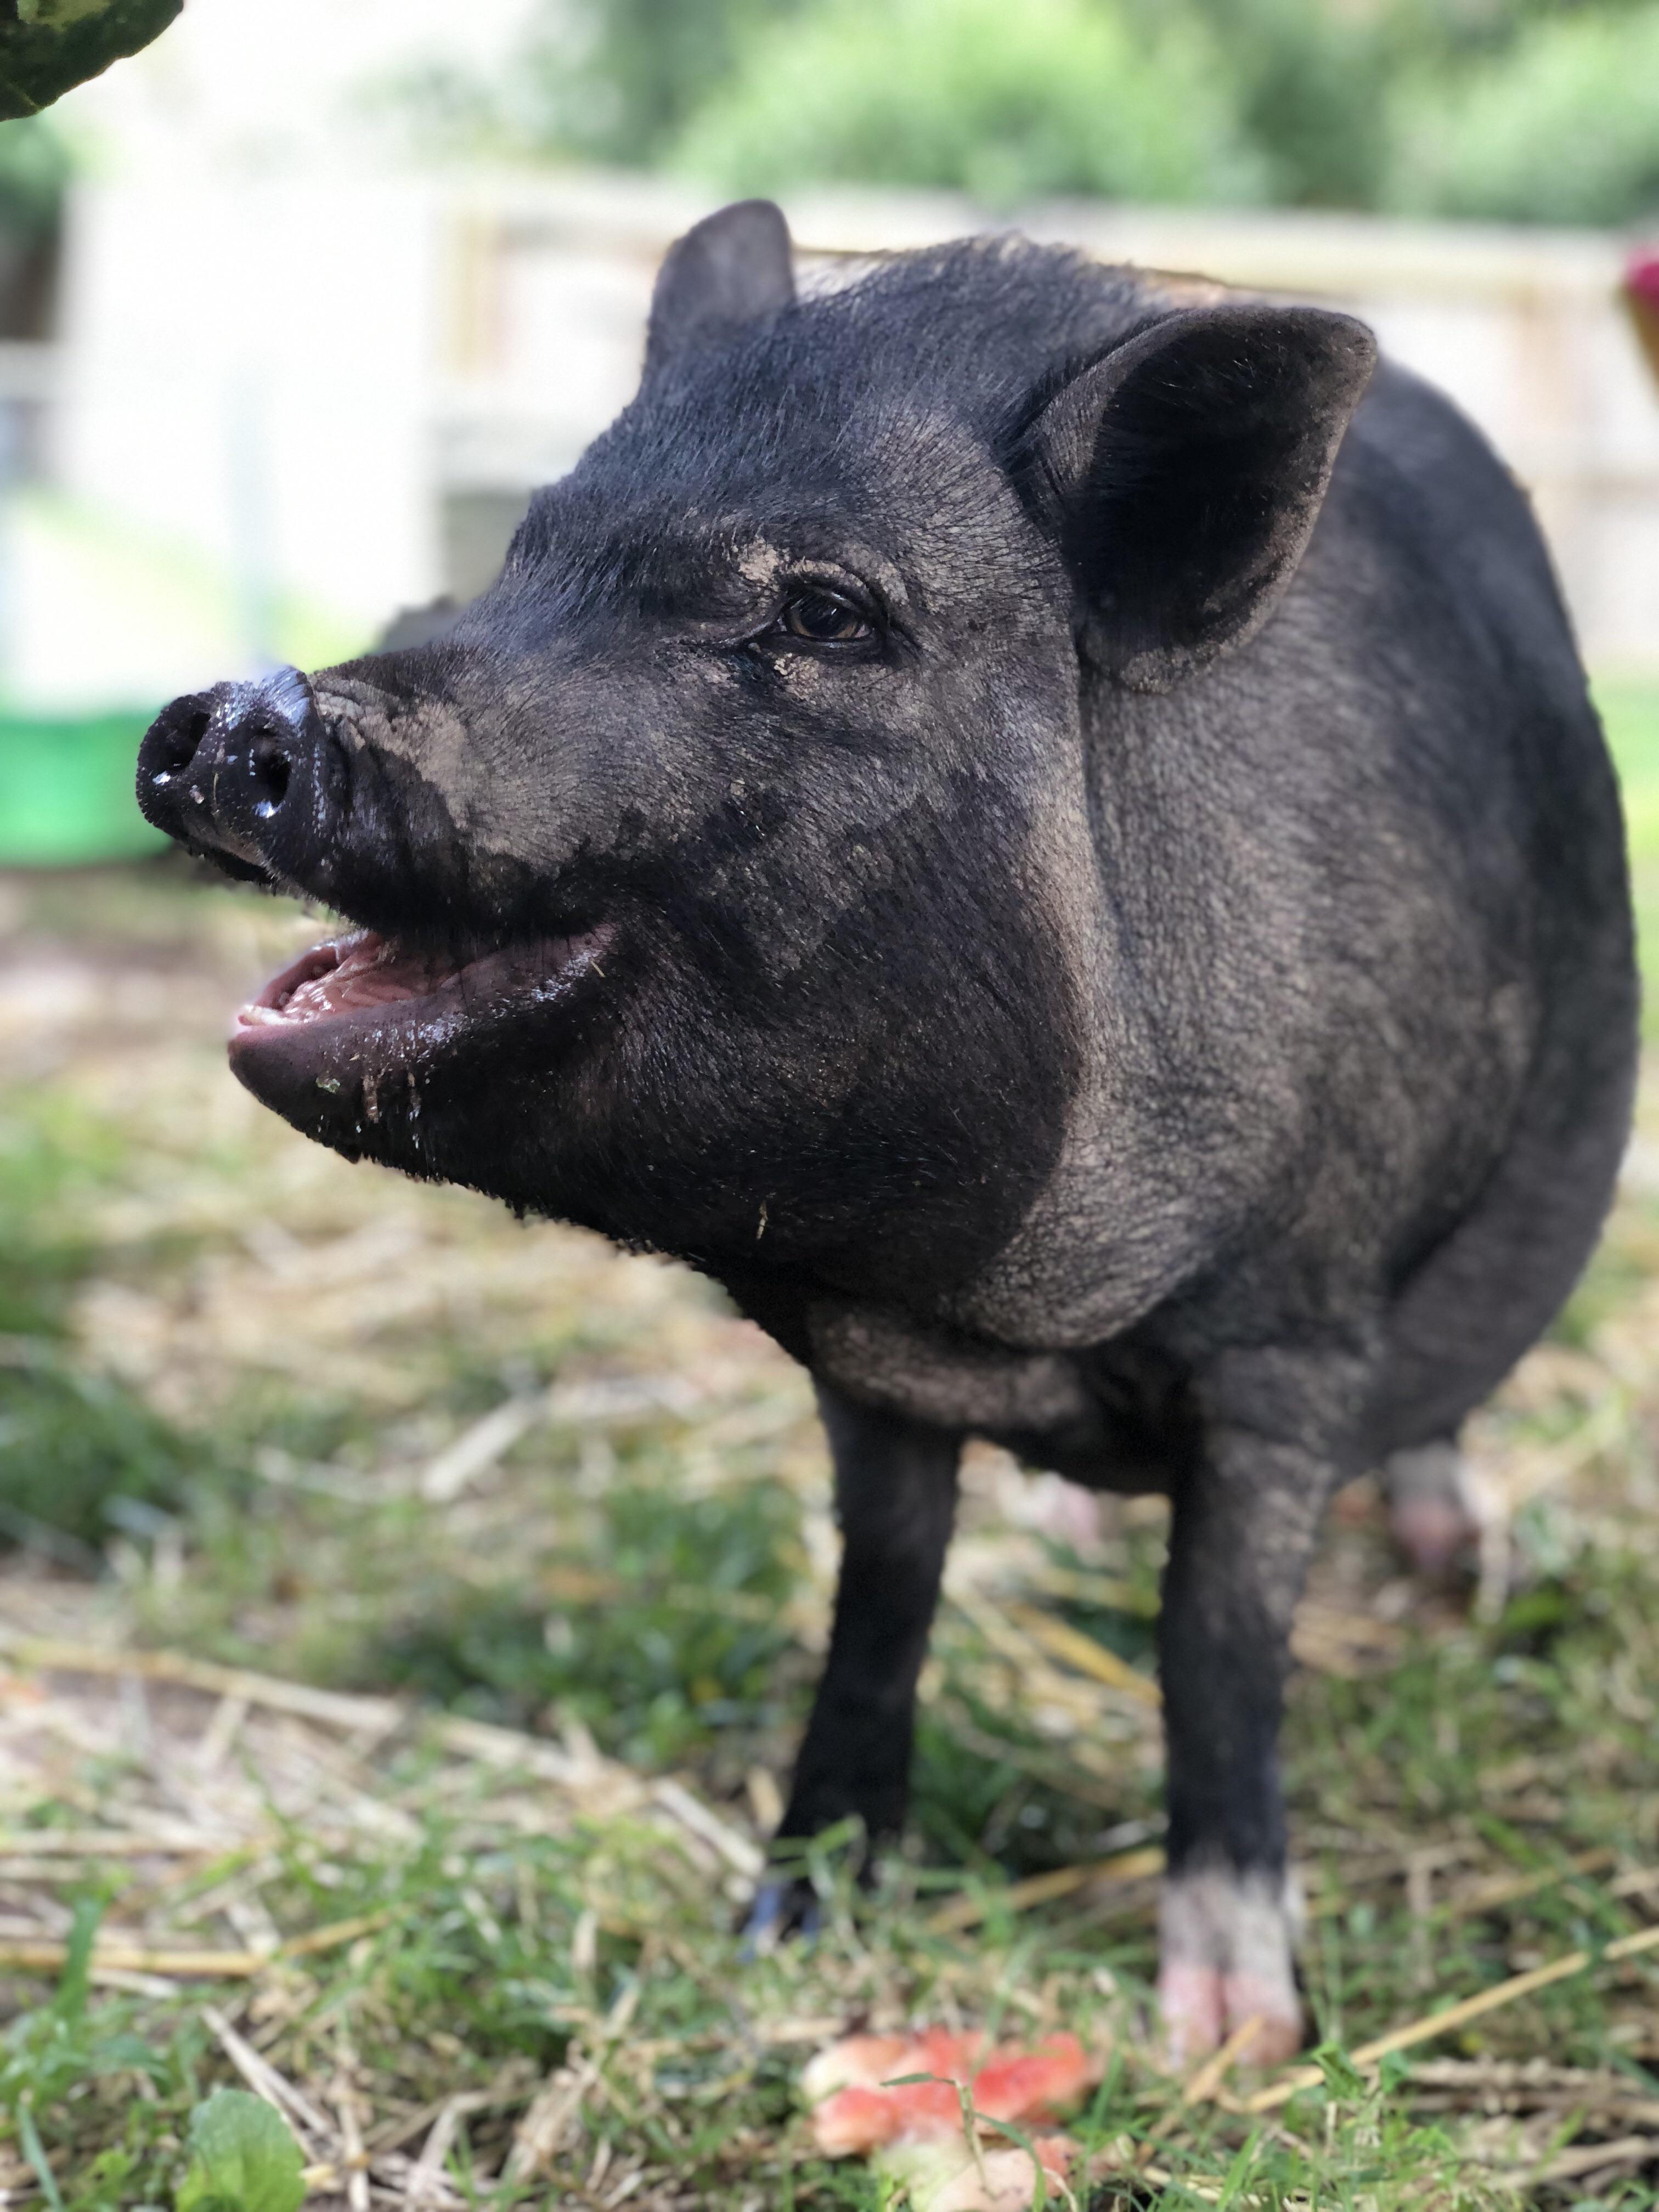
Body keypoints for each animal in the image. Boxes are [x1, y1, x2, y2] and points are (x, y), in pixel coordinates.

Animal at [136, 201, 1637, 2063]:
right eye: (533, 551)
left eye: (829, 611)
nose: (244, 712)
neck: (997, 1318)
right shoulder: (867, 1387)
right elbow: (880, 1599)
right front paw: (789, 1919)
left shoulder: (1288, 1331)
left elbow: (1216, 1650)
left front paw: (1232, 2042)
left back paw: (1451, 1567)